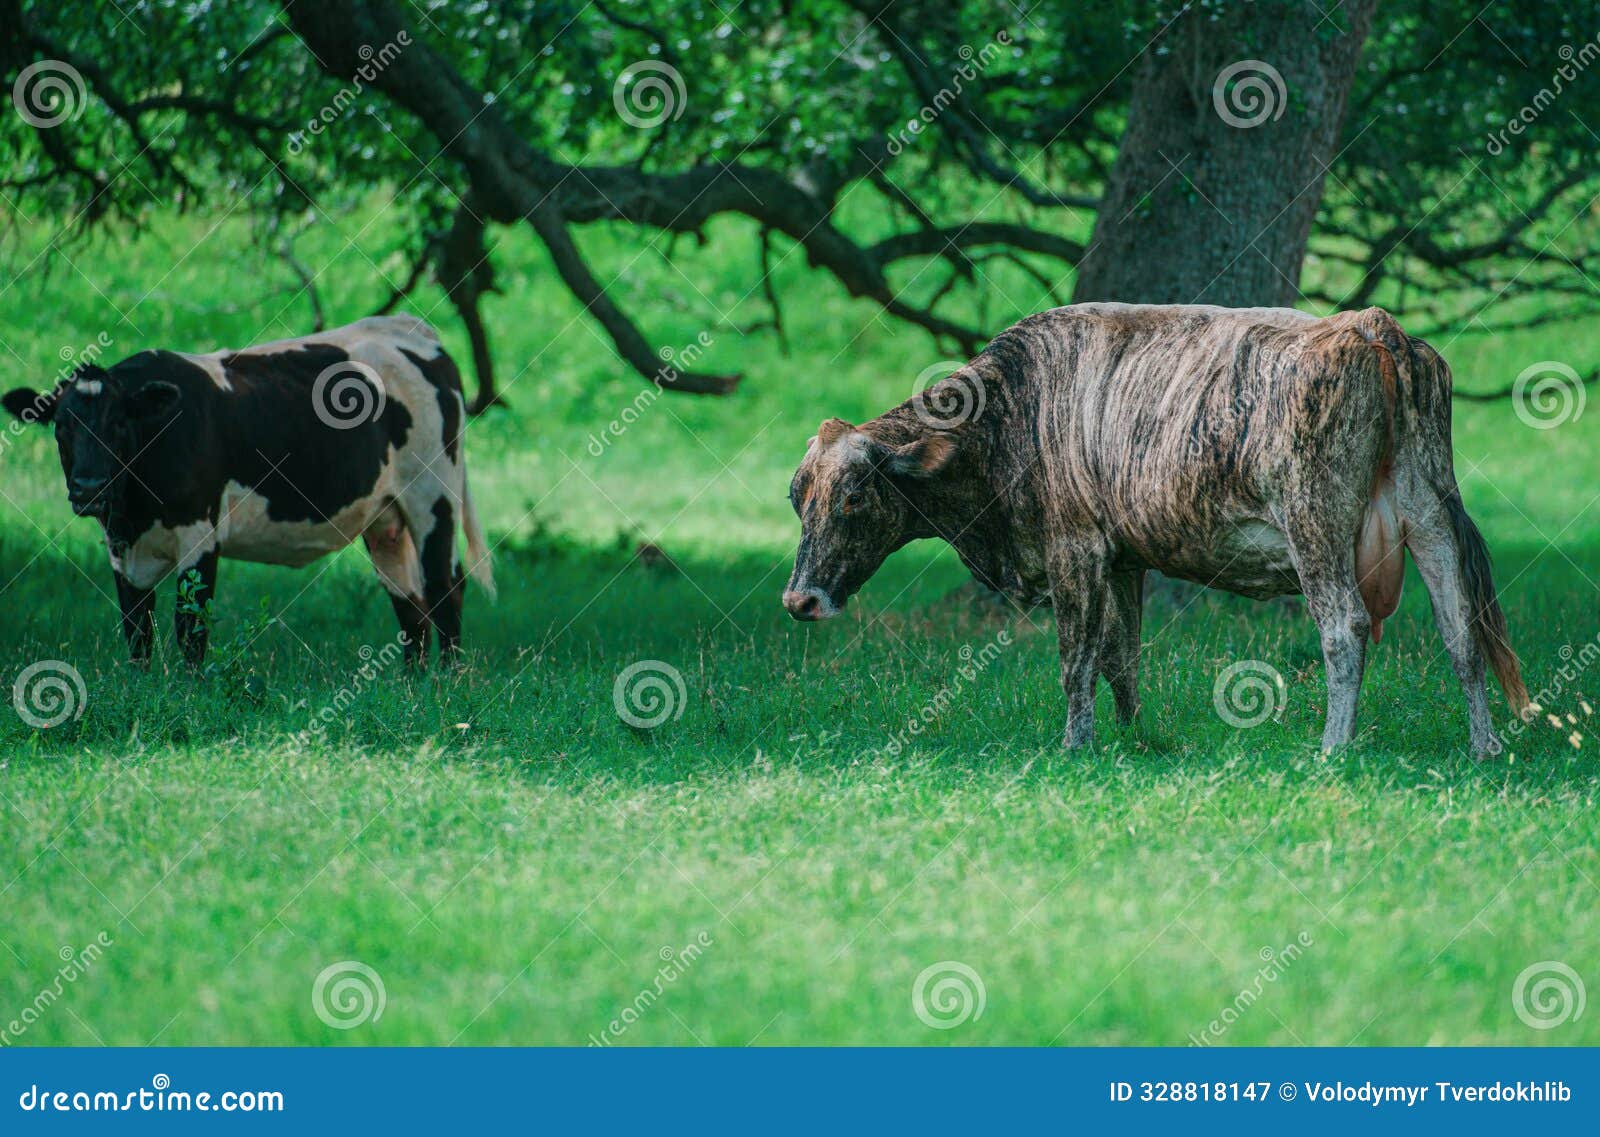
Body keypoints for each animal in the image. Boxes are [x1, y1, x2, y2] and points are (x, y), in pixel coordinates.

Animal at [3, 315, 494, 667]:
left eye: (119, 424)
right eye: (61, 427)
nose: (88, 488)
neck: (135, 512)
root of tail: (409, 329)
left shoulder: (199, 533)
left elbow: (190, 627)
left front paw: (191, 693)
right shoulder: (121, 549)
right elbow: (137, 629)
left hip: (432, 497)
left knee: (445, 588)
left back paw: (447, 684)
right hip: (386, 520)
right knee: (411, 605)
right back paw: (411, 688)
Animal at [782, 303, 1530, 757]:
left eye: (854, 495)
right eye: (797, 496)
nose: (799, 599)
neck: (1011, 413)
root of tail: (1371, 326)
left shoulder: (1075, 549)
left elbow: (1076, 660)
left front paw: (1075, 747)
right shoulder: (1123, 559)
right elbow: (1121, 656)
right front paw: (1133, 737)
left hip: (1314, 524)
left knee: (1344, 628)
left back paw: (1332, 749)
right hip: (1429, 516)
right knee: (1461, 629)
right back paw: (1484, 747)